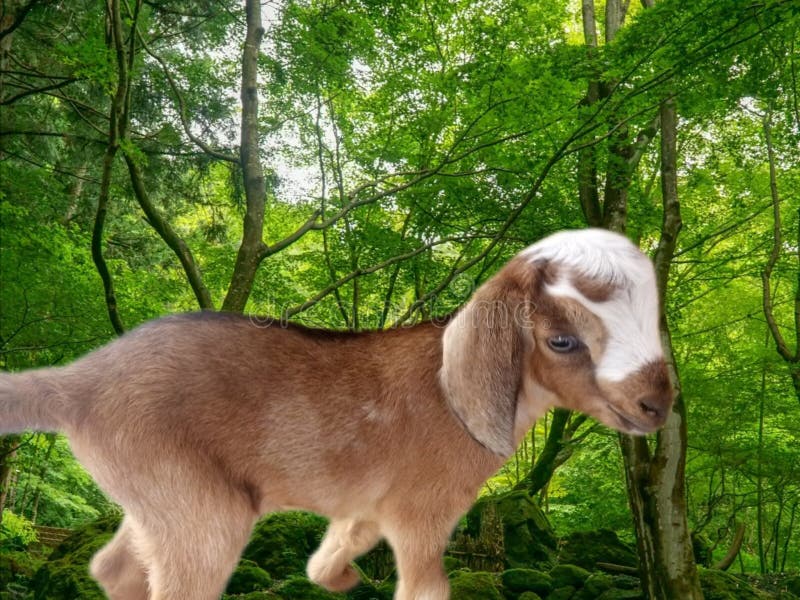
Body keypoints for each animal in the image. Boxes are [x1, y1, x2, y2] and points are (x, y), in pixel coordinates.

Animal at [0, 228, 672, 600]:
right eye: (561, 340)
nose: (658, 404)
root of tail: (79, 380)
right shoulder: (423, 510)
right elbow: (427, 586)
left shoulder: (370, 504)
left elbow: (341, 541)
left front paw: (332, 579)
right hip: (199, 505)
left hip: (160, 498)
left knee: (112, 567)